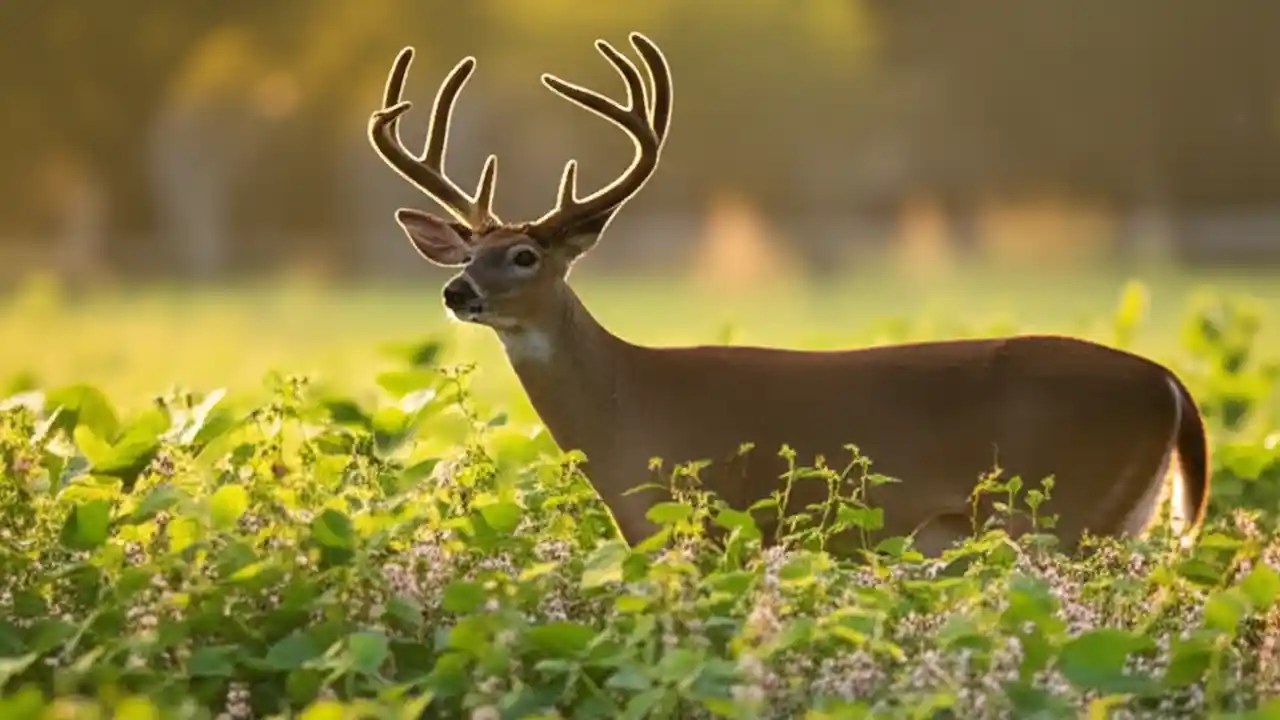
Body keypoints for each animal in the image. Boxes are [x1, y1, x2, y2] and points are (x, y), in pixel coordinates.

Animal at [366, 33, 1210, 558]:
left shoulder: (707, 523)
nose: (458, 291)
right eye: (468, 250)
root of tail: (1171, 384)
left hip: (1067, 514)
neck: (626, 408)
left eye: (524, 254)